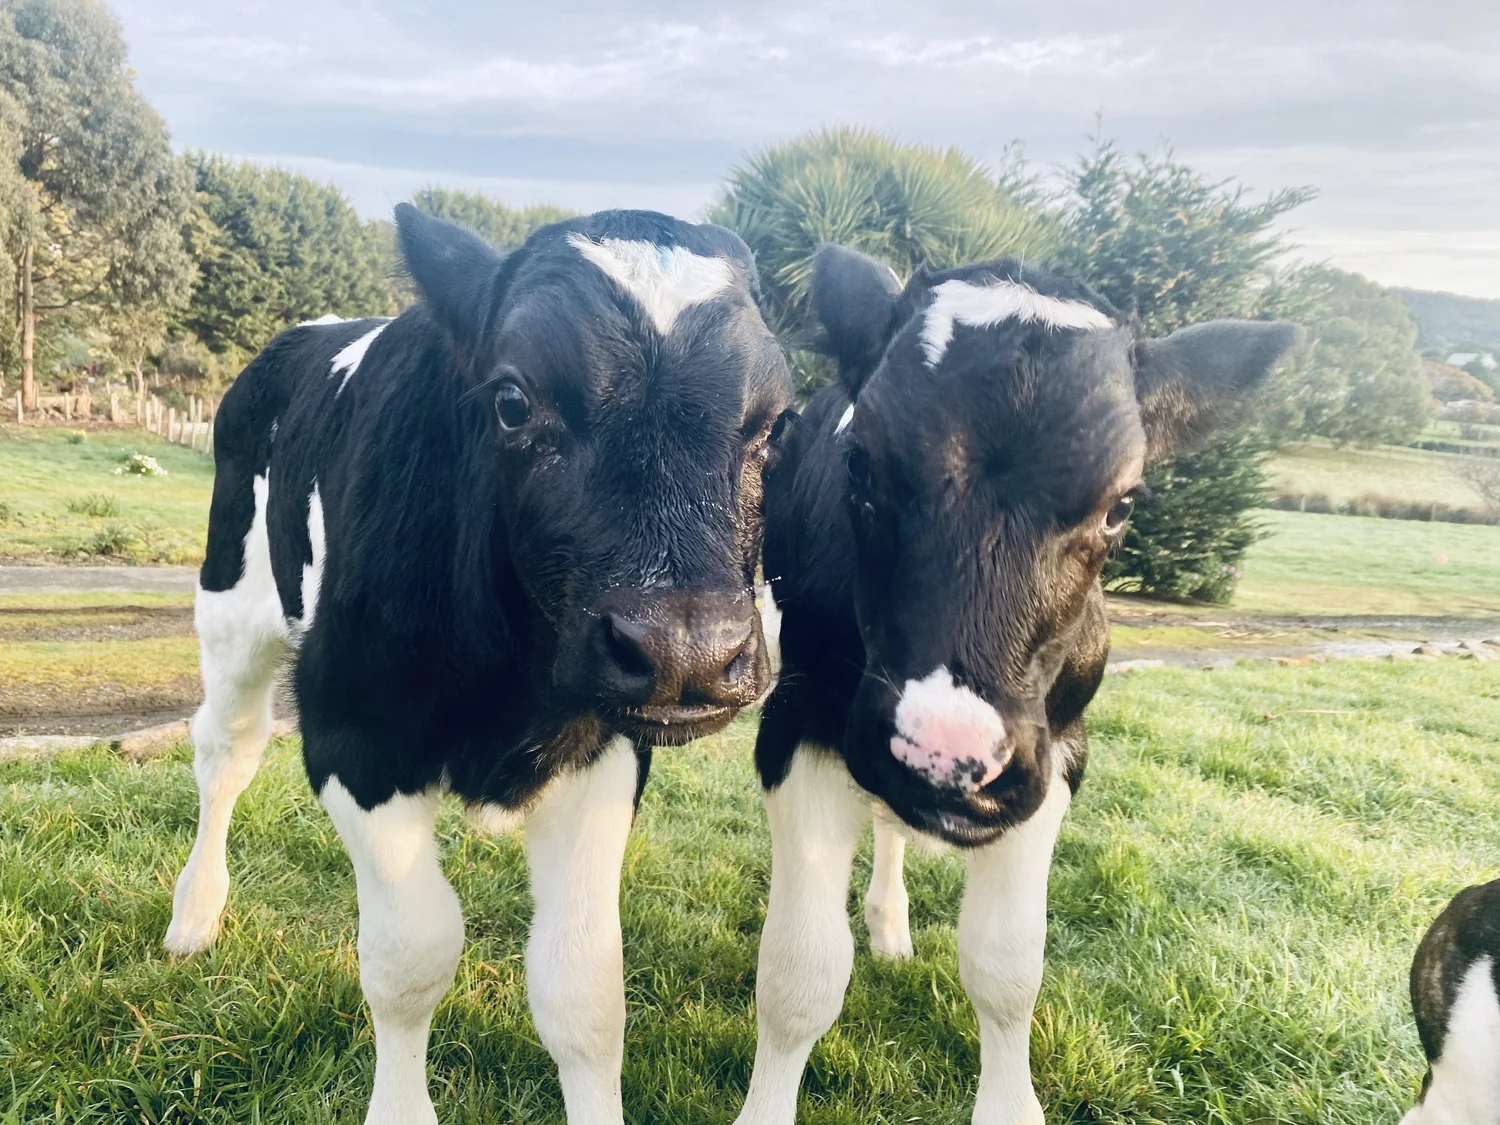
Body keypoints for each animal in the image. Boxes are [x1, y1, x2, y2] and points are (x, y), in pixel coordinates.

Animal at [163, 204, 792, 1125]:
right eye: (512, 400)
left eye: (778, 422)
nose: (688, 648)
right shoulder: (352, 734)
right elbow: (410, 957)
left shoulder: (607, 750)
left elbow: (583, 990)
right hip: (232, 605)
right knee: (226, 752)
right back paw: (194, 914)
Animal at [734, 243, 1300, 1125]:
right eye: (861, 464)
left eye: (1122, 504)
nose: (945, 756)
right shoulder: (798, 722)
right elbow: (799, 973)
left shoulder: (1057, 752)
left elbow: (1006, 967)